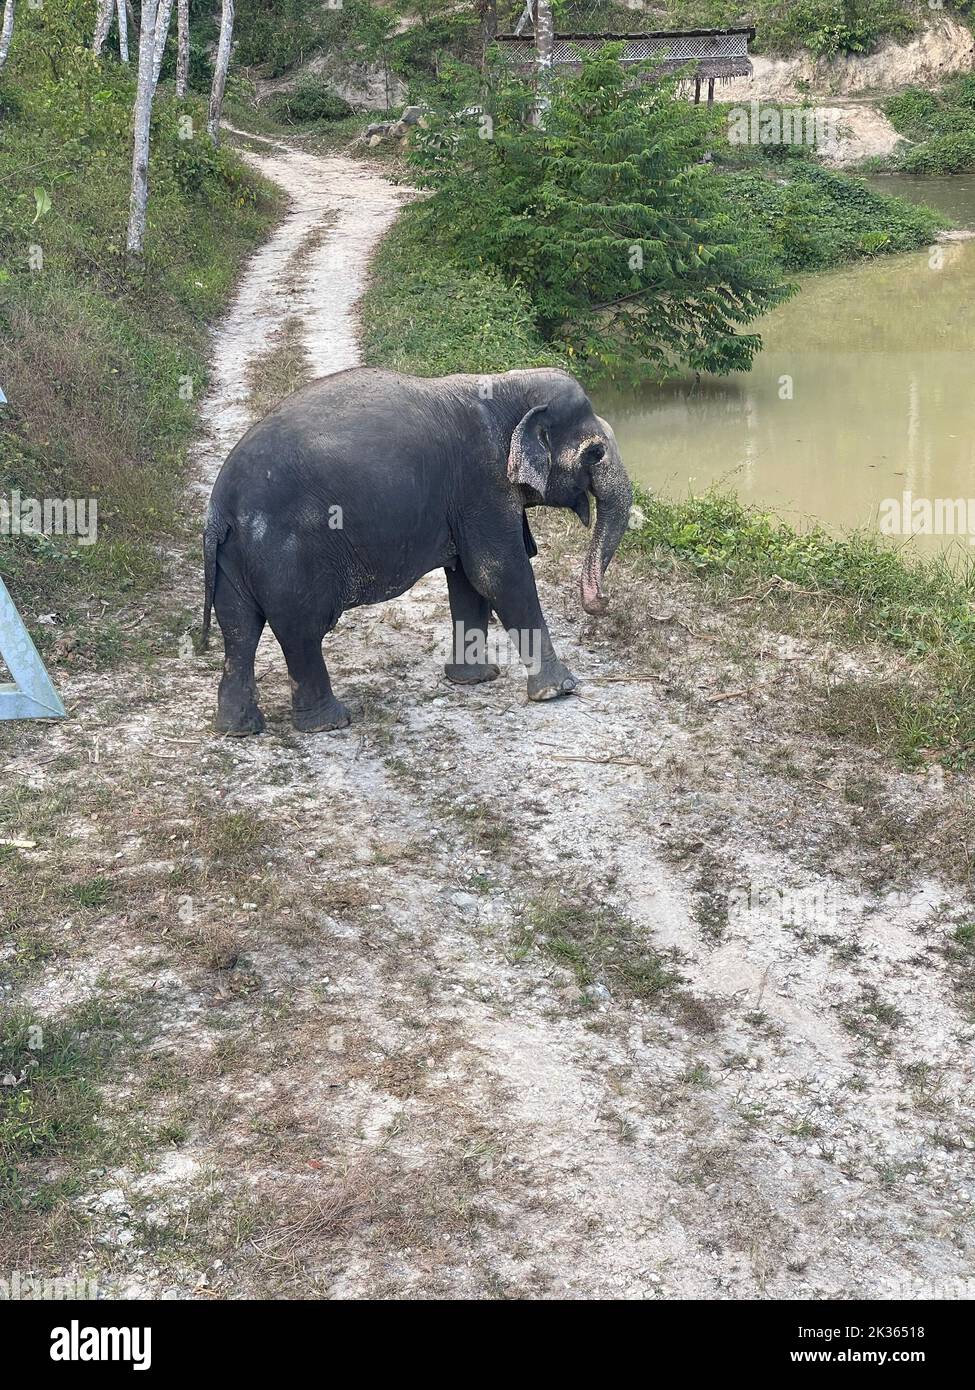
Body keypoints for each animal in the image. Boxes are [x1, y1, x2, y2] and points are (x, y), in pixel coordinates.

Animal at [201, 366, 632, 735]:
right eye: (594, 453)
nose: (600, 602)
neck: (507, 385)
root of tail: (220, 505)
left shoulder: (466, 499)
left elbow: (467, 582)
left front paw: (474, 680)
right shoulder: (481, 482)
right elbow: (499, 573)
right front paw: (560, 690)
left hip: (235, 556)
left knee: (239, 629)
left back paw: (238, 729)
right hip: (286, 552)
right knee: (300, 629)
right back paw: (330, 723)